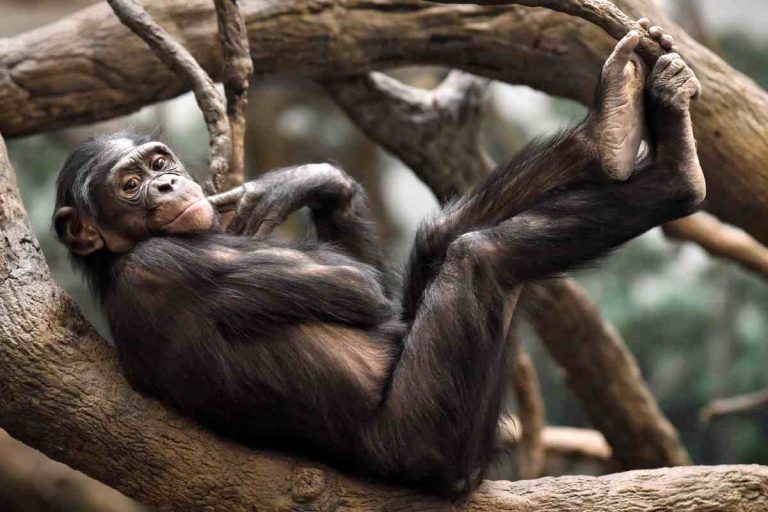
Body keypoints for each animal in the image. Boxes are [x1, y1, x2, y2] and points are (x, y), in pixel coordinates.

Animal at [52, 22, 703, 493]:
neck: (122, 256)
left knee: (439, 238)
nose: (165, 186)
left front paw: (297, 181)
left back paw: (611, 131)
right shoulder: (163, 265)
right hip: (438, 442)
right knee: (479, 255)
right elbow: (355, 285)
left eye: (159, 162)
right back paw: (671, 172)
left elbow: (377, 294)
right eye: (129, 185)